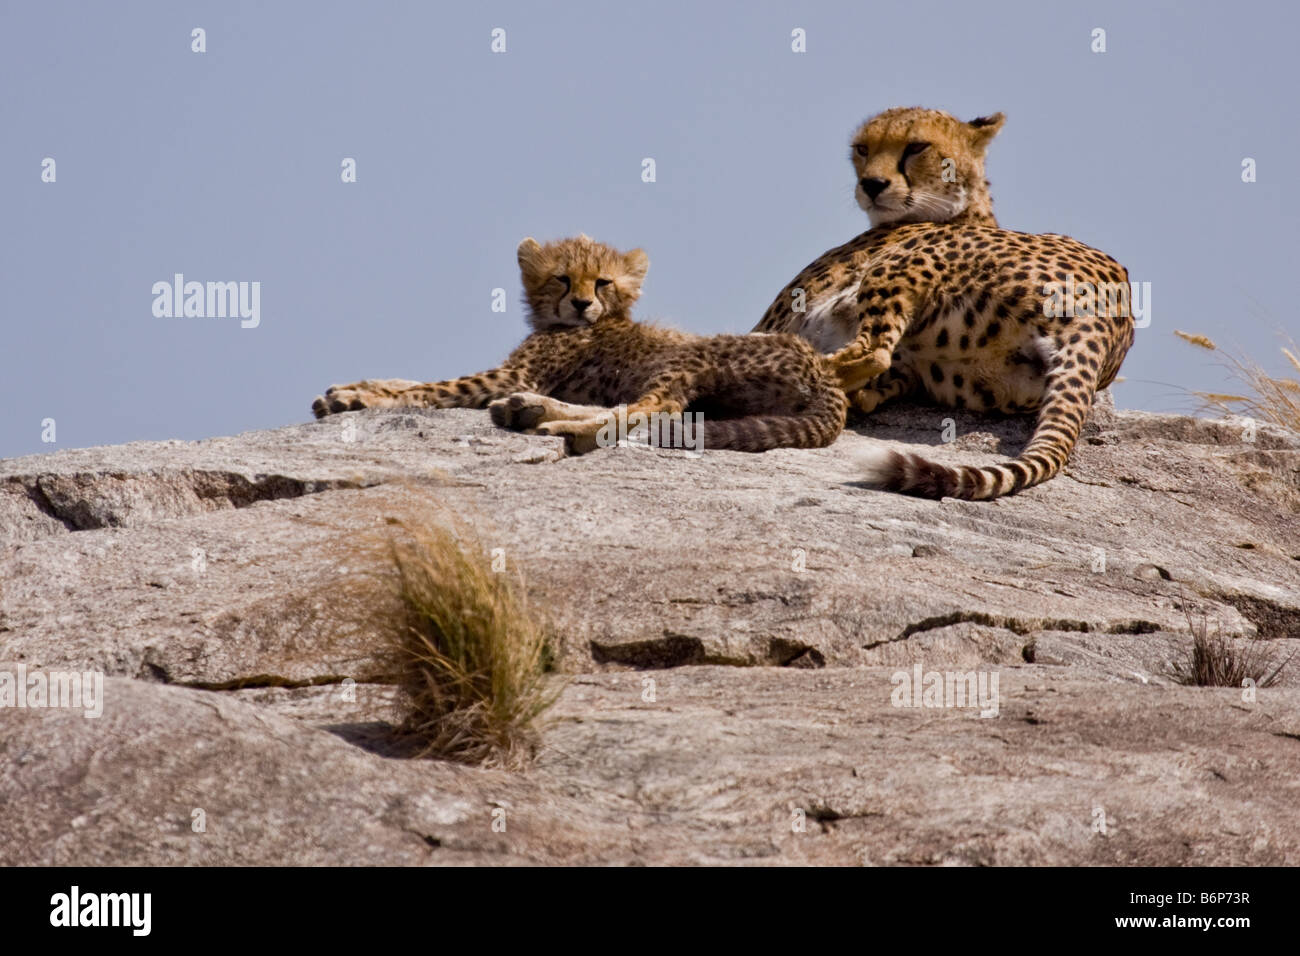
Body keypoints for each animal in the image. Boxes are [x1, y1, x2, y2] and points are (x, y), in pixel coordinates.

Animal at [312, 235, 847, 454]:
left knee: (652, 409)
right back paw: (531, 411)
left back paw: (550, 421)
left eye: (603, 282)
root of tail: (828, 376)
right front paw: (350, 388)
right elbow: (412, 379)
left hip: (690, 357)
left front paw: (356, 399)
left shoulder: (514, 372)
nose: (582, 304)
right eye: (563, 278)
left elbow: (432, 389)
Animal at [754, 110, 1135, 501]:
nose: (872, 184)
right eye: (862, 149)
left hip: (900, 263)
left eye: (916, 147)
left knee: (872, 352)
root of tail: (1107, 319)